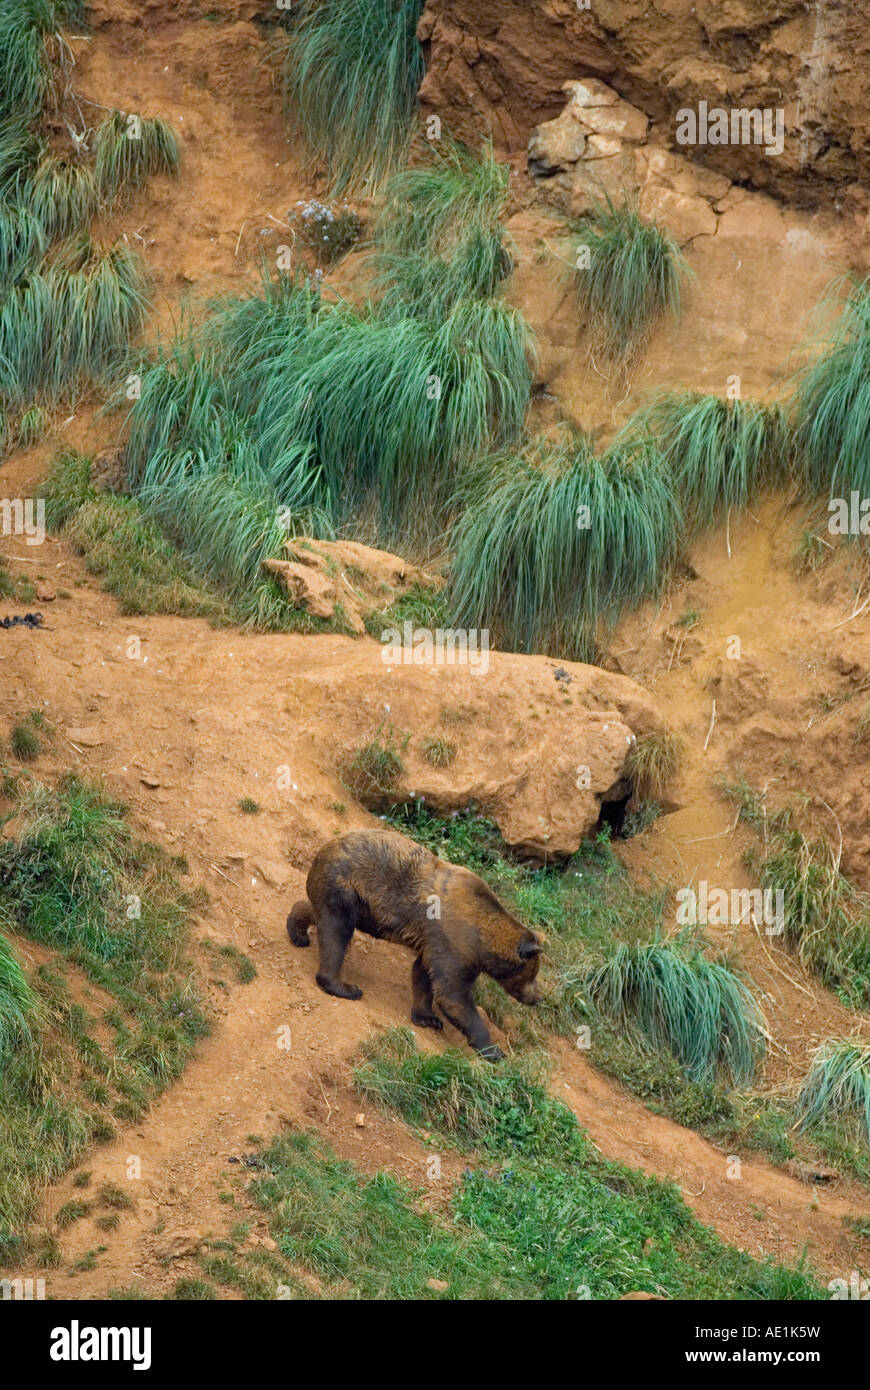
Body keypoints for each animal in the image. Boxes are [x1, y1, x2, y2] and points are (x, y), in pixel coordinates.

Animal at [286, 828, 543, 1061]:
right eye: (532, 974)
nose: (537, 997)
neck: (483, 940)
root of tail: (325, 848)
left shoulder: (435, 944)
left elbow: (423, 974)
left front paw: (427, 1017)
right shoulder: (454, 943)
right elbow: (453, 995)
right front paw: (493, 1049)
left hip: (352, 901)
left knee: (318, 912)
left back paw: (298, 932)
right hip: (347, 887)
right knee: (336, 932)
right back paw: (344, 986)